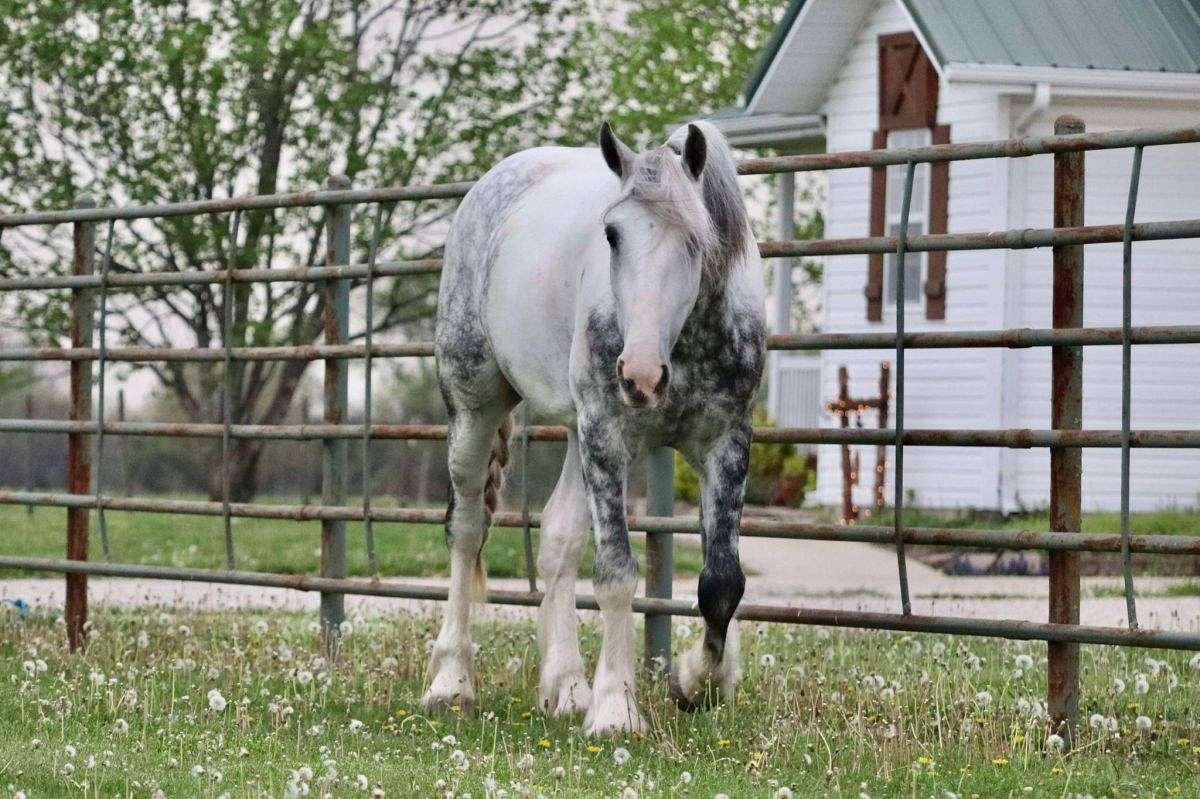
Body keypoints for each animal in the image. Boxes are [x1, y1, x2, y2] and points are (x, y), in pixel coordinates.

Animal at [424, 119, 766, 735]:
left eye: (695, 241)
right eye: (612, 234)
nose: (640, 374)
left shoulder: (726, 442)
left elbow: (722, 581)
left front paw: (698, 681)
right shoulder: (608, 435)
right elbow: (615, 573)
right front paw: (615, 710)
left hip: (578, 435)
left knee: (558, 538)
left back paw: (564, 687)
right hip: (476, 408)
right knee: (466, 530)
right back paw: (452, 681)